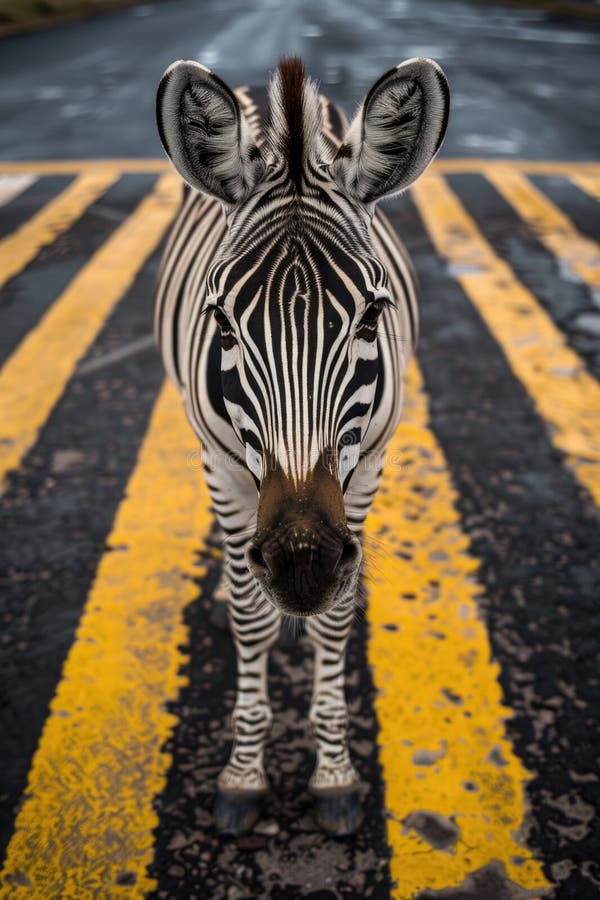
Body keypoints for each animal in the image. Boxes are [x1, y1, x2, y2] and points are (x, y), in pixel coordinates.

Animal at [155, 55, 449, 836]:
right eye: (222, 321)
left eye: (373, 316)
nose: (301, 561)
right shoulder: (224, 468)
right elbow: (251, 619)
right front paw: (244, 774)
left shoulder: (368, 462)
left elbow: (335, 625)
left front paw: (336, 773)